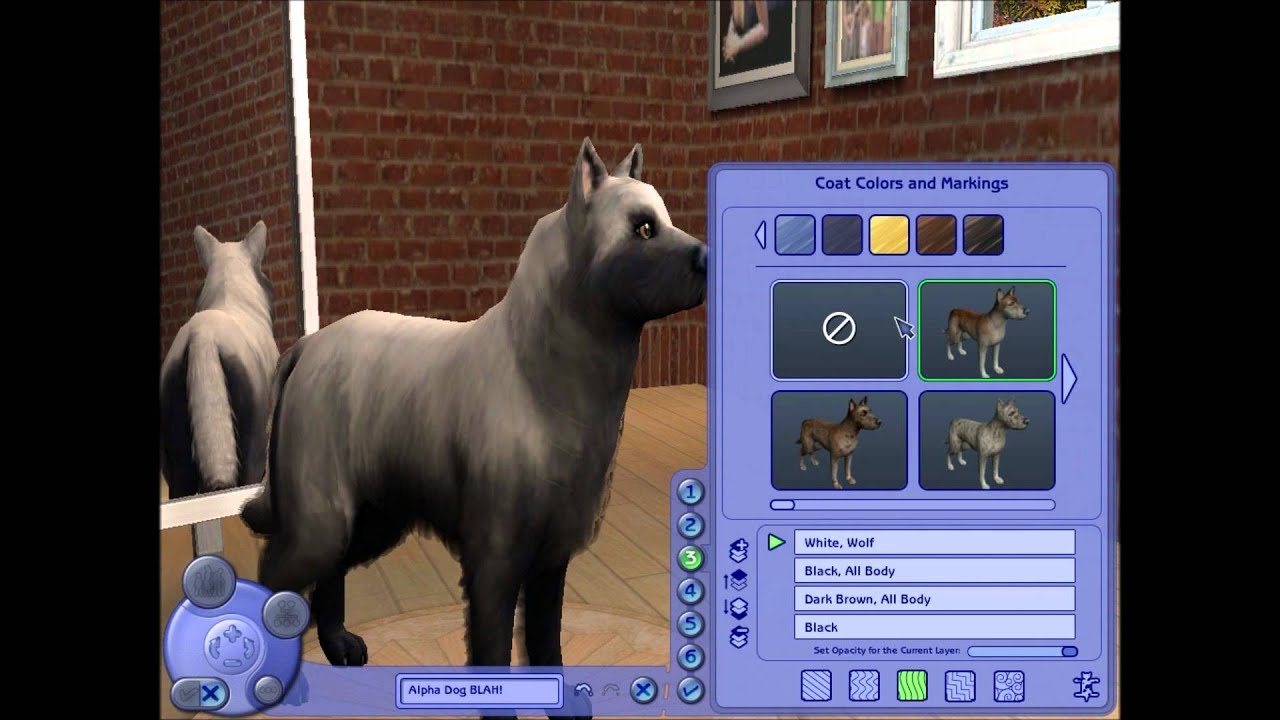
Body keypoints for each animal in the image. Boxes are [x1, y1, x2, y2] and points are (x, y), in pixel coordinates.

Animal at [241, 139, 706, 719]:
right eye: (644, 228)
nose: (707, 258)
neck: (547, 377)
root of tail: (309, 345)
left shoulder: (551, 558)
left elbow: (546, 642)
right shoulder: (494, 559)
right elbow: (493, 655)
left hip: (373, 515)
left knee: (330, 574)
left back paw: (337, 645)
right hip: (320, 522)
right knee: (271, 577)